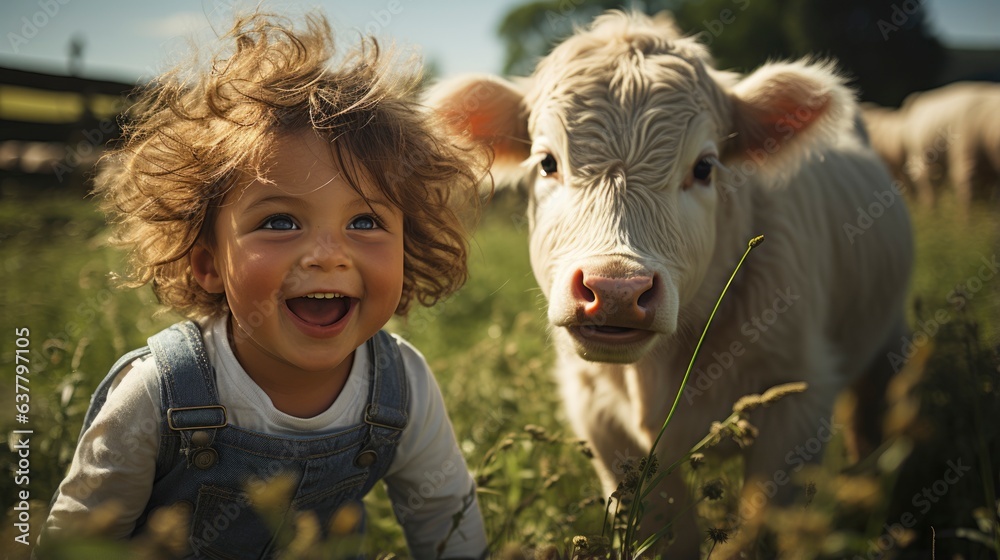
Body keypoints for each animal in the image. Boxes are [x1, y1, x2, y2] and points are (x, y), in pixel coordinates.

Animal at [430, 11, 913, 555]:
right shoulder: (601, 421)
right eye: (547, 162)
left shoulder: (794, 405)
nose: (616, 290)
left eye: (704, 167)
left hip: (889, 338)